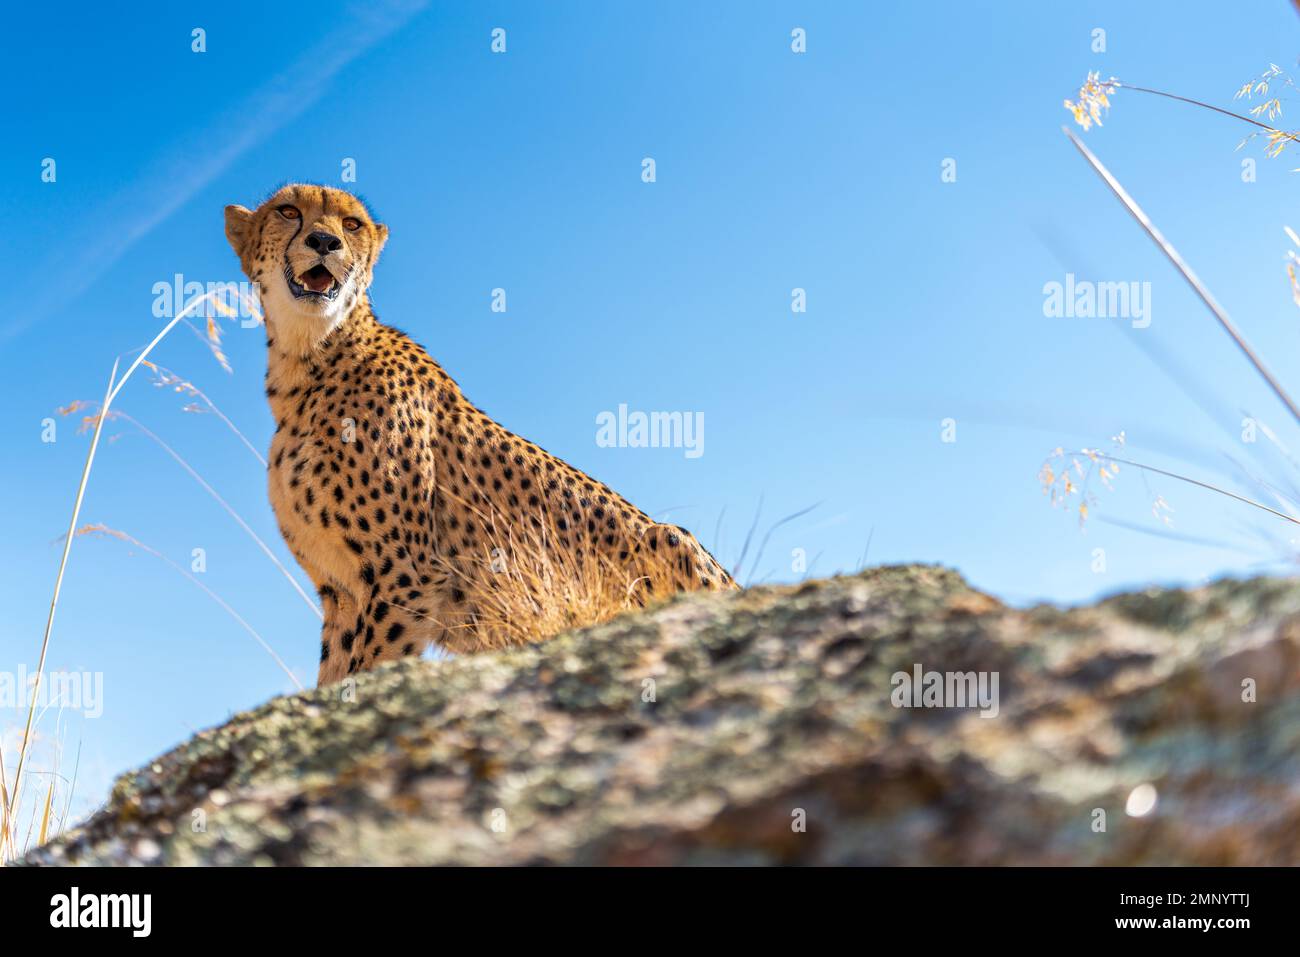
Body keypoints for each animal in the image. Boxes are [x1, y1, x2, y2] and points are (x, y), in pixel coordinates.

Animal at [224, 184, 736, 686]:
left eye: (351, 224)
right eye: (289, 211)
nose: (325, 242)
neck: (308, 360)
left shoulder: (405, 577)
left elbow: (365, 673)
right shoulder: (343, 593)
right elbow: (334, 677)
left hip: (669, 538)